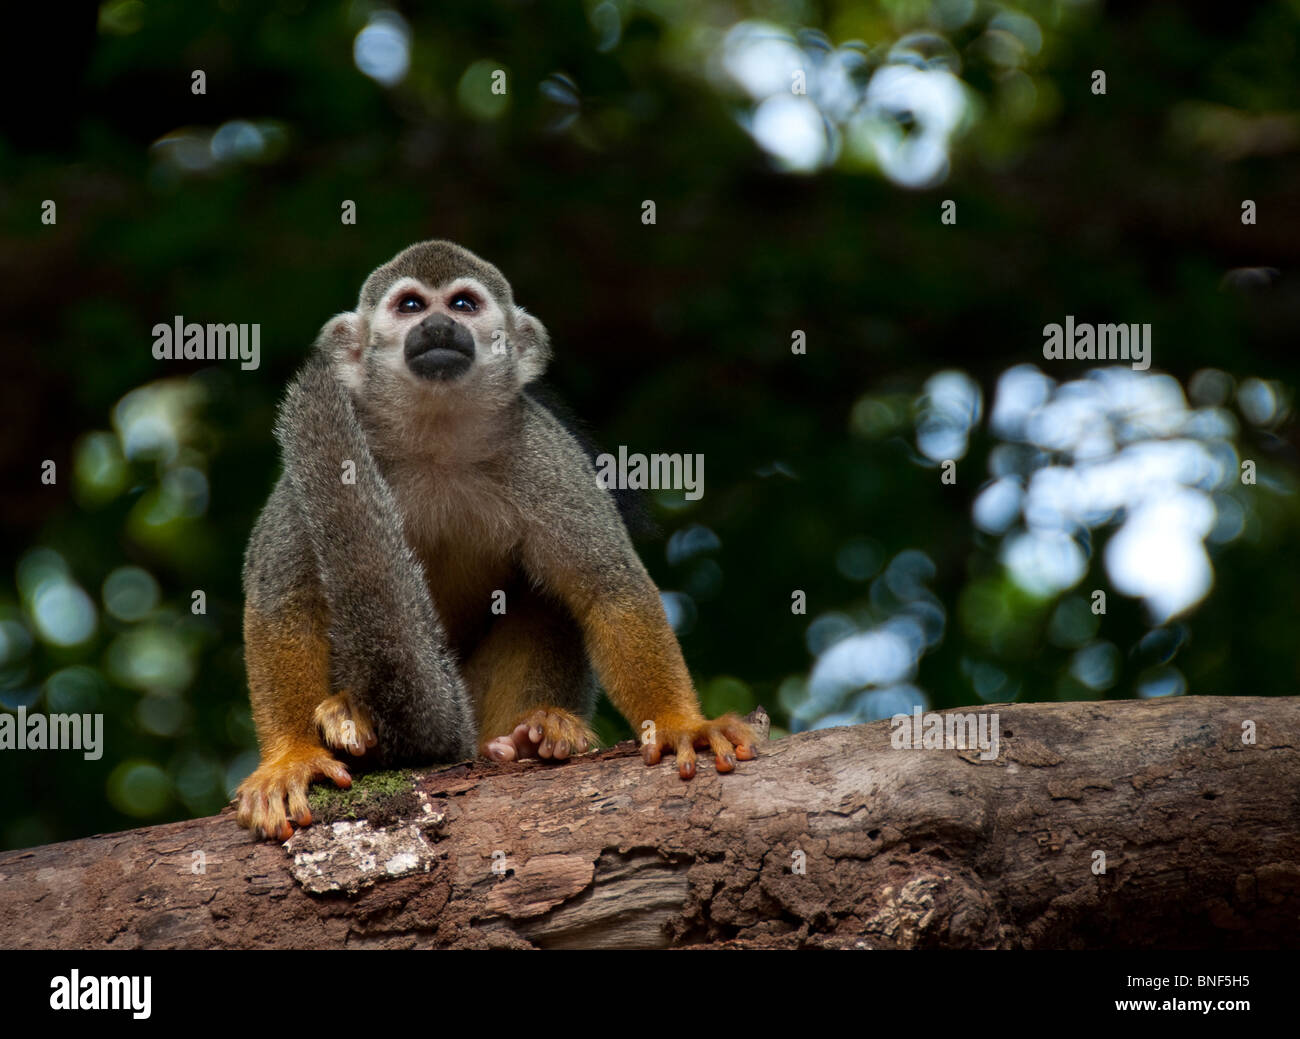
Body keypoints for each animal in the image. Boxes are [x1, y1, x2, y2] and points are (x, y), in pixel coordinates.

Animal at [235, 240, 756, 840]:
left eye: (463, 303)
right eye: (411, 305)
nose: (439, 325)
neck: (435, 438)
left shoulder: (542, 451)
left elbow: (609, 588)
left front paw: (681, 723)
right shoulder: (311, 477)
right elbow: (283, 600)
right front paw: (291, 757)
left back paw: (528, 740)